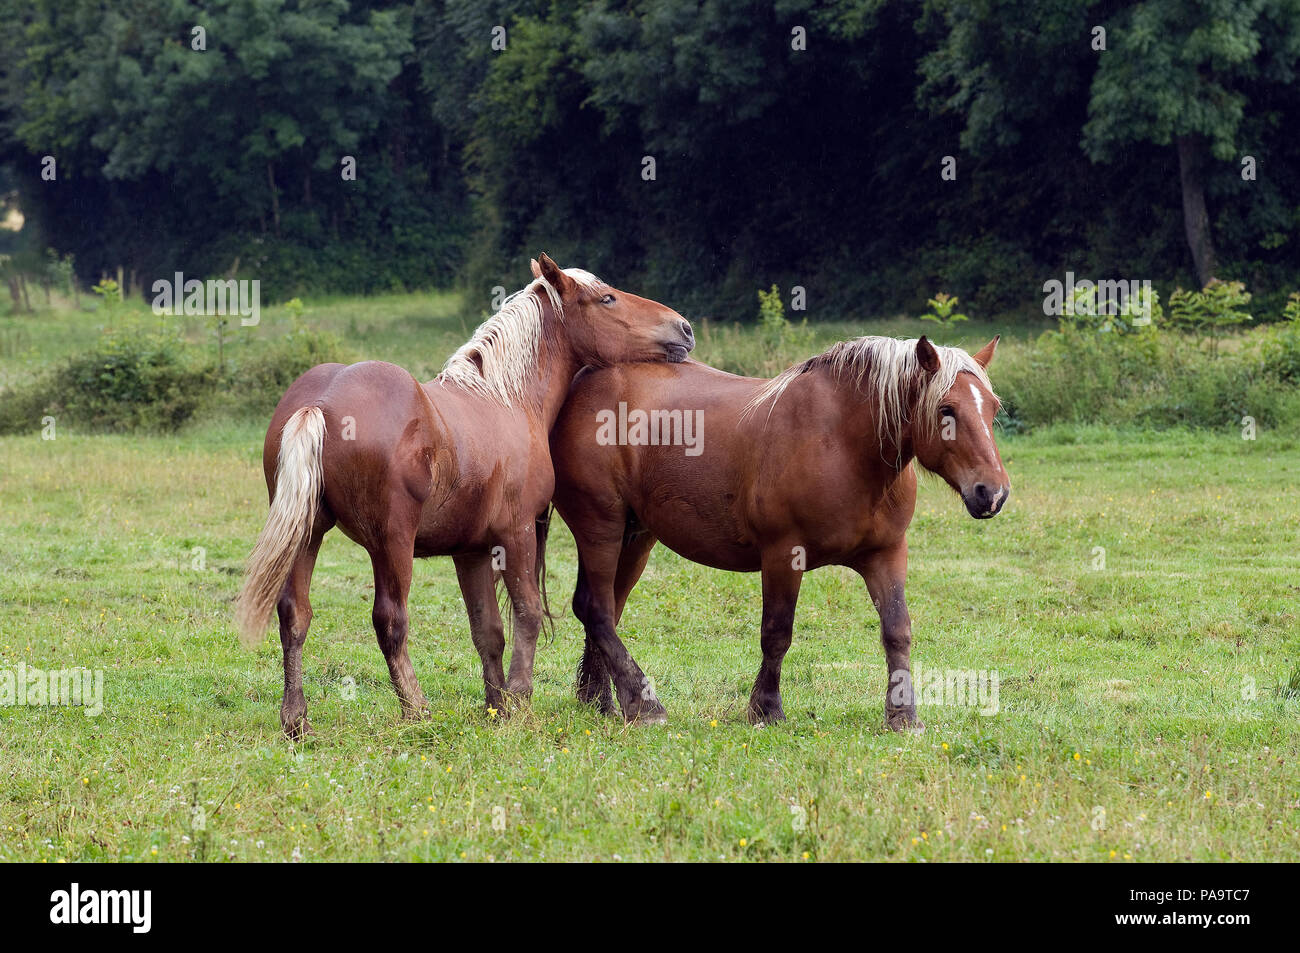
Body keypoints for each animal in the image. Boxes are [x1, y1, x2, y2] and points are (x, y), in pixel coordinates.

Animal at [234, 254, 695, 737]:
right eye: (607, 298)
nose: (683, 328)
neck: (506, 398)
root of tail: (320, 403)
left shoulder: (470, 551)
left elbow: (487, 629)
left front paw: (497, 705)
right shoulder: (515, 534)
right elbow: (528, 613)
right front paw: (520, 700)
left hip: (309, 534)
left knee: (295, 614)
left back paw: (296, 718)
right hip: (390, 544)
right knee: (390, 619)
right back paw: (416, 710)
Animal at [547, 334, 1008, 730]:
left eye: (992, 408)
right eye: (946, 410)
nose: (993, 492)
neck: (842, 444)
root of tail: (585, 381)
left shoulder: (887, 554)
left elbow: (897, 630)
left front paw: (903, 716)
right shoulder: (784, 554)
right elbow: (777, 633)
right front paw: (766, 709)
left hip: (636, 536)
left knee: (605, 609)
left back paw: (602, 699)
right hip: (600, 527)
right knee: (596, 608)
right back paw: (643, 705)